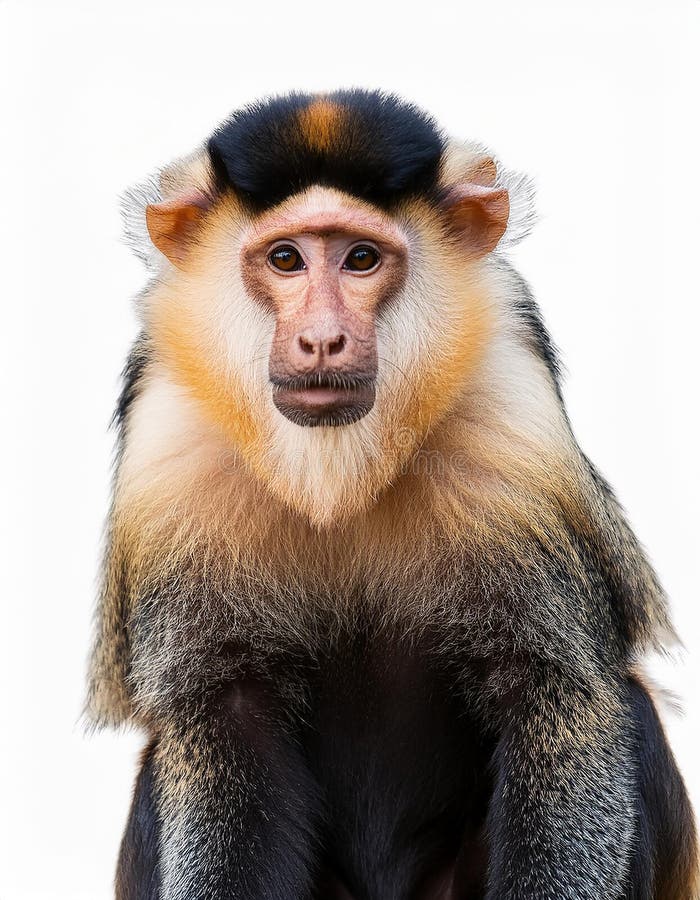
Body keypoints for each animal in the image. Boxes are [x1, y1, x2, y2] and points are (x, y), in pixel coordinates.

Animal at [87, 89, 698, 900]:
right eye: (286, 260)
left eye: (361, 259)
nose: (321, 340)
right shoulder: (167, 458)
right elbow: (224, 716)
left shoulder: (516, 423)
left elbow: (561, 694)